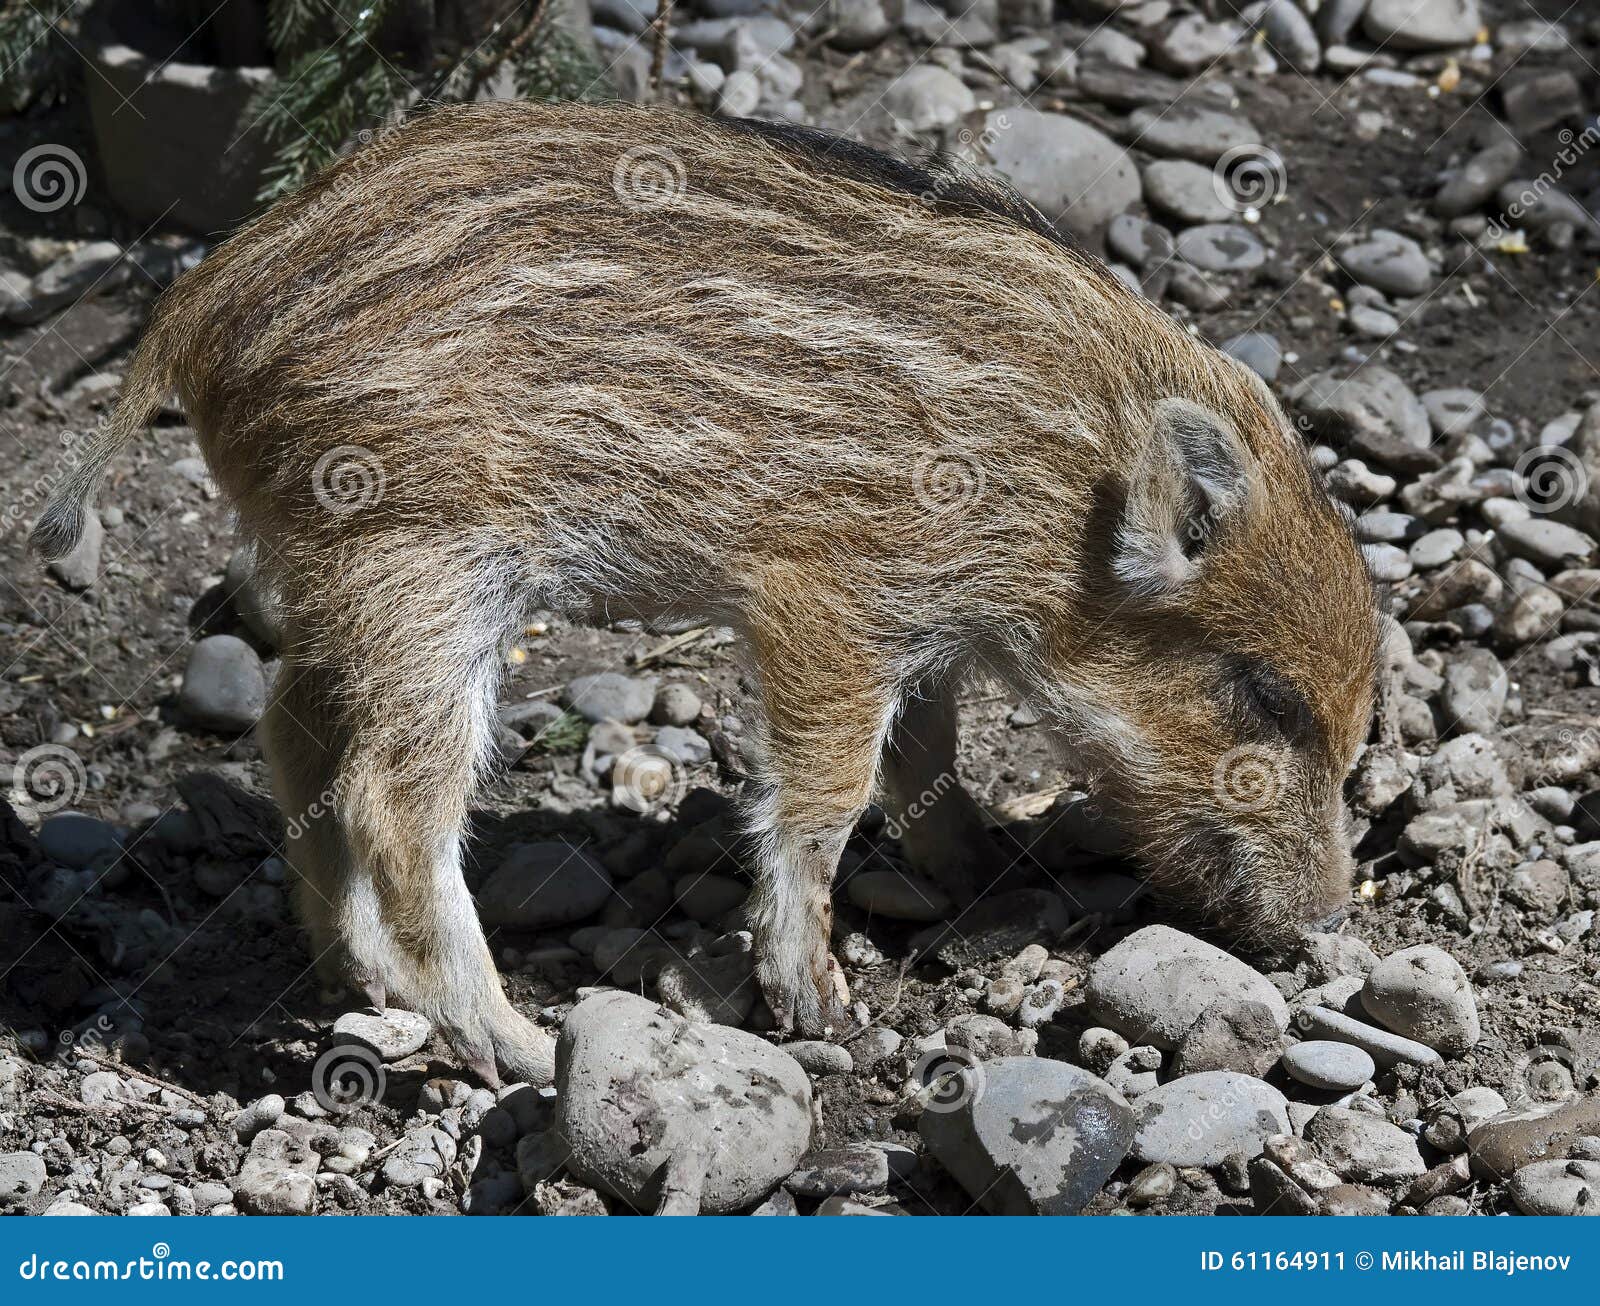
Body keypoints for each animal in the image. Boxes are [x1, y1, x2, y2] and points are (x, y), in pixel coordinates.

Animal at [32, 102, 1381, 1084]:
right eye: (1264, 695)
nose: (1327, 925)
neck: (1063, 487)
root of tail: (198, 303)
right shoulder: (823, 598)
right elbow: (827, 793)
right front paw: (815, 1003)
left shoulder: (921, 630)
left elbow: (928, 748)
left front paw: (971, 870)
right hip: (425, 564)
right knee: (391, 801)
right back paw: (515, 1046)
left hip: (343, 570)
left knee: (297, 738)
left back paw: (354, 979)